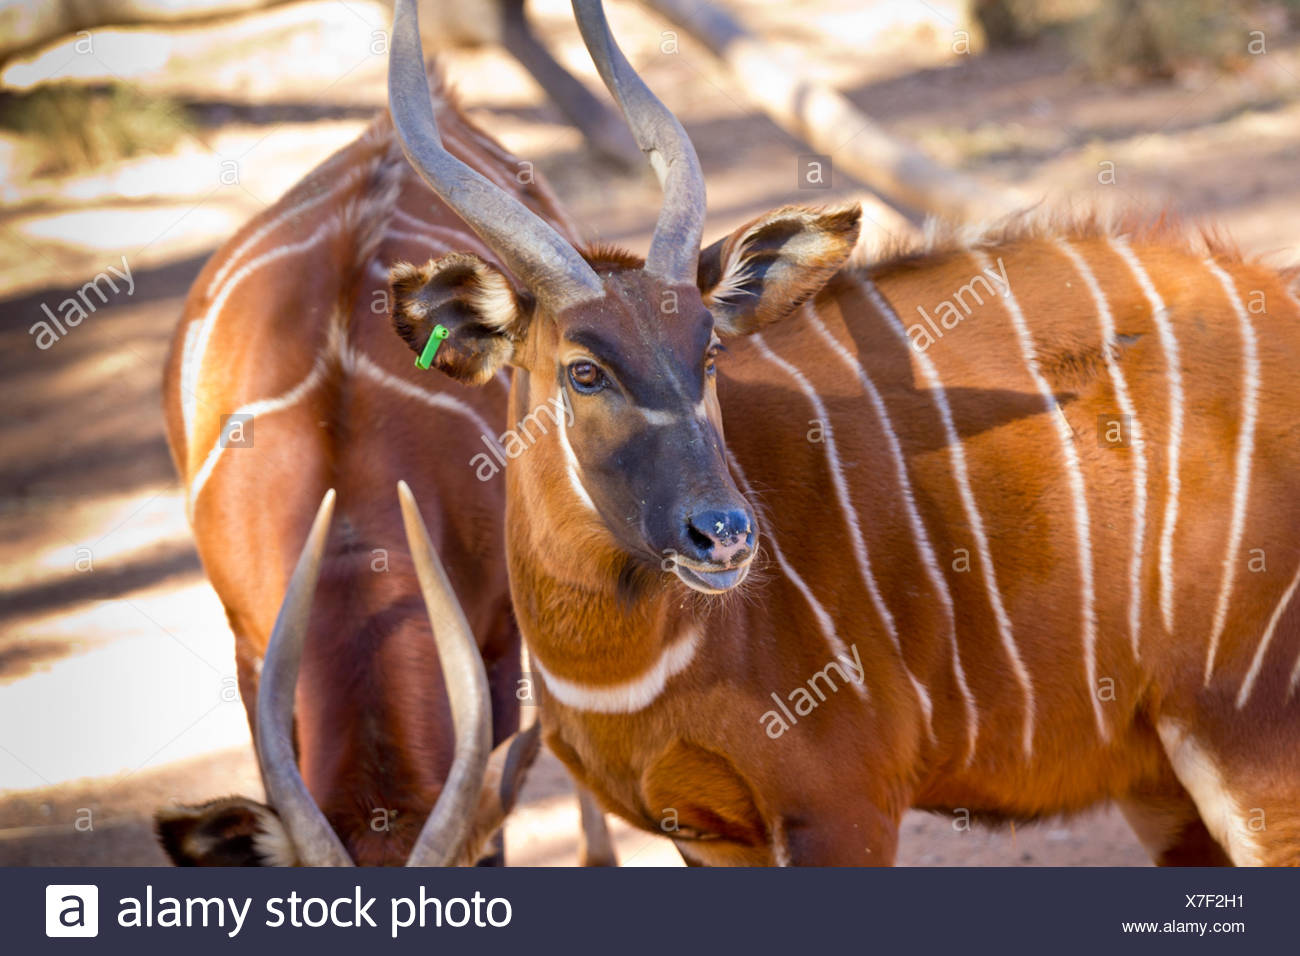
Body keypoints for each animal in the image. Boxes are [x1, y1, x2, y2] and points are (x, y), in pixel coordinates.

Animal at [386, 0, 1300, 866]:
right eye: (584, 370)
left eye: (708, 350)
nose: (725, 535)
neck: (626, 664)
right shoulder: (710, 833)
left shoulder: (842, 807)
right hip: (1164, 785)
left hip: (1250, 743)